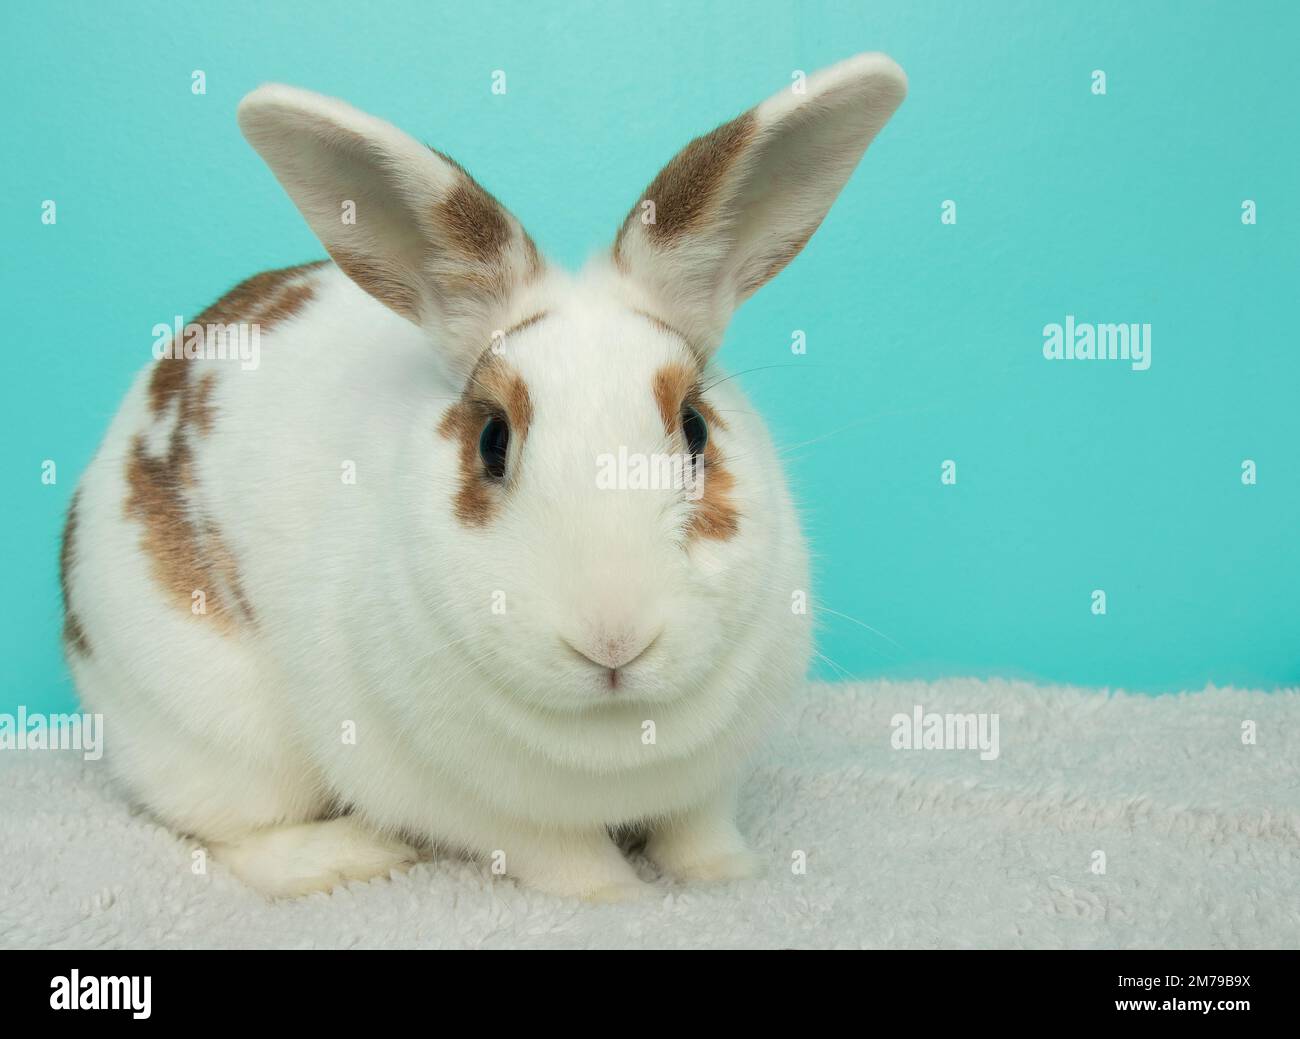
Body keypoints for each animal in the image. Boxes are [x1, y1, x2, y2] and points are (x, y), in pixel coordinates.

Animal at [58, 52, 906, 900]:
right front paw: (618, 895)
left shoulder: (710, 784)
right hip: (220, 736)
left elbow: (699, 827)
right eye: (493, 440)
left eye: (696, 429)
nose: (613, 638)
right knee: (229, 834)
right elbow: (563, 855)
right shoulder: (488, 814)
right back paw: (350, 855)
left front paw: (727, 877)